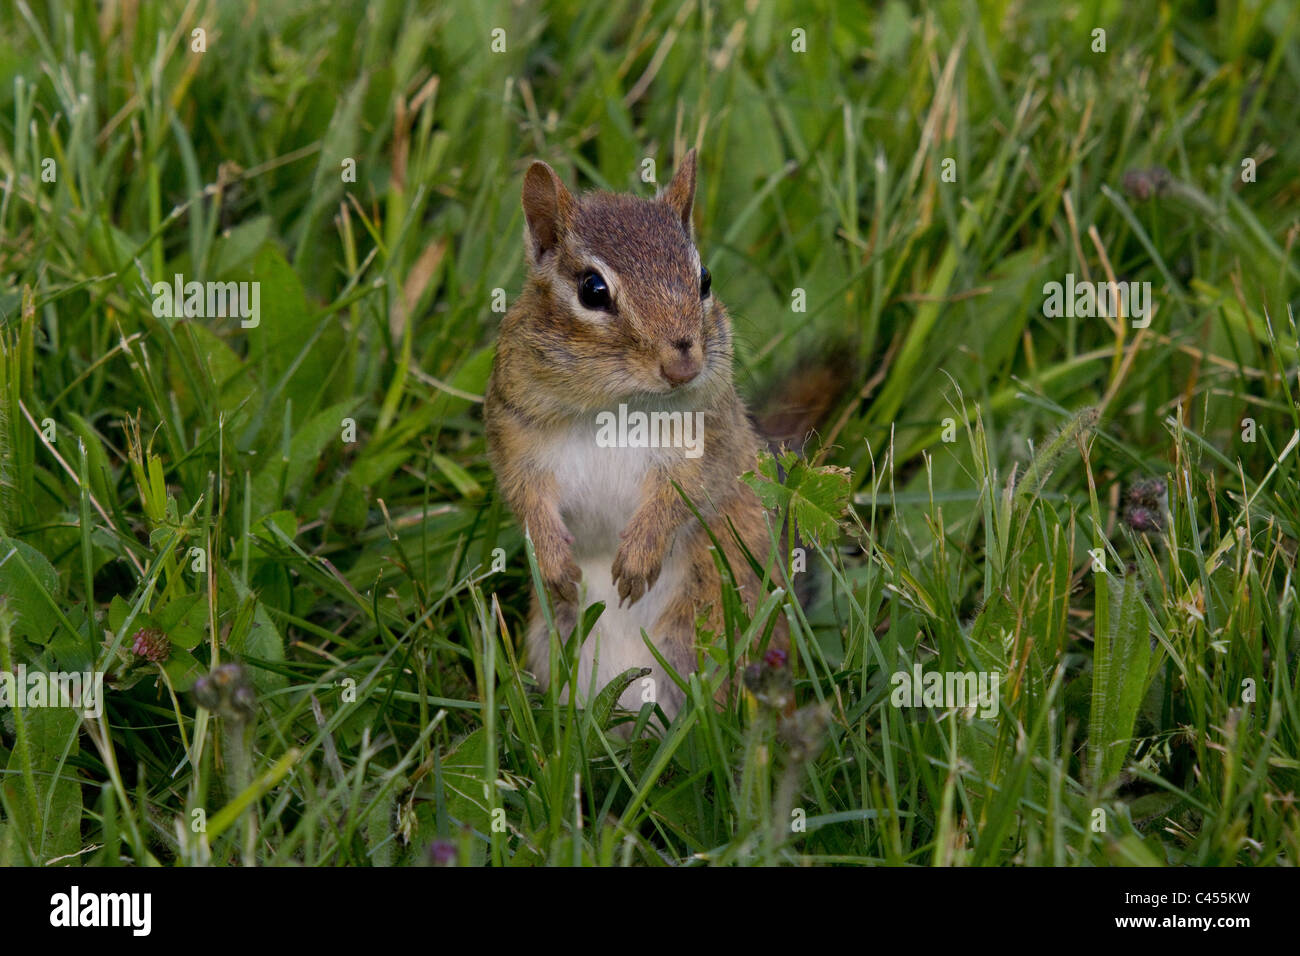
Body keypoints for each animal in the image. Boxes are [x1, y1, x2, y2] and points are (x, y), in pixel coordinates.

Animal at [485, 149, 838, 724]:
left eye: (705, 279)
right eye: (592, 289)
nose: (683, 362)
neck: (616, 407)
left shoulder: (704, 441)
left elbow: (680, 496)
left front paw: (638, 558)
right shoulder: (515, 429)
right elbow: (526, 496)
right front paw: (554, 563)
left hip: (705, 624)